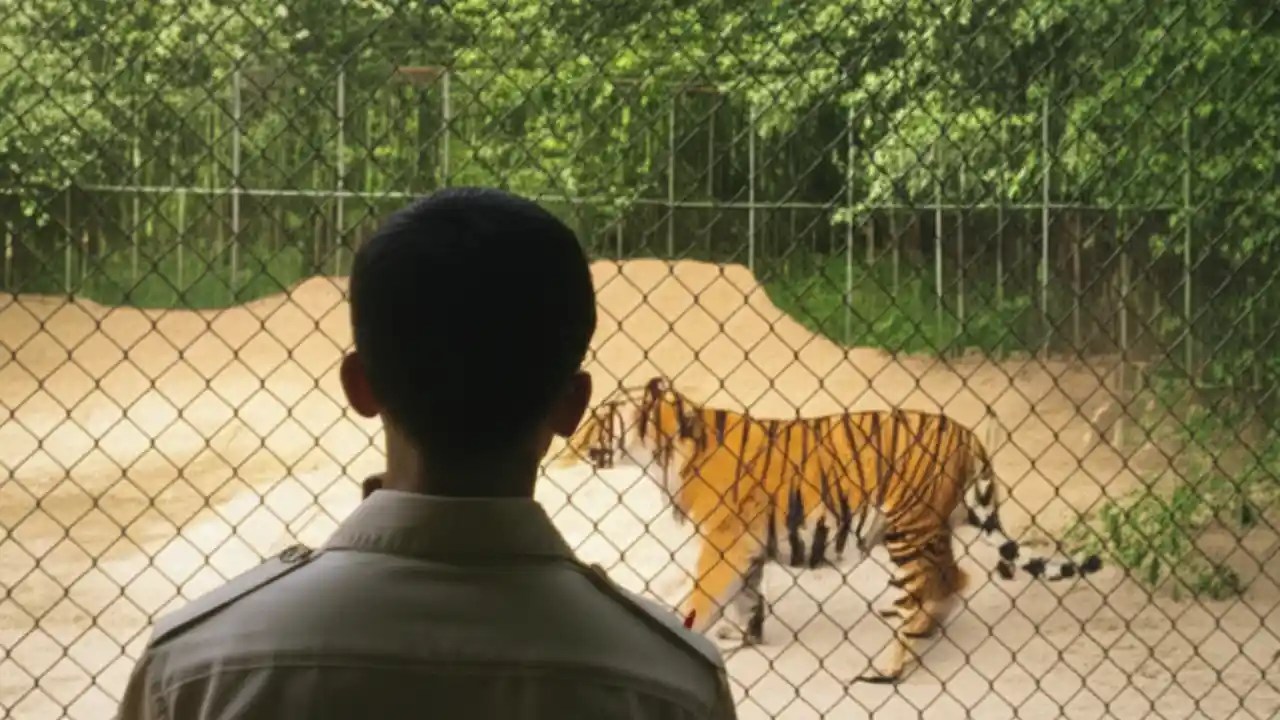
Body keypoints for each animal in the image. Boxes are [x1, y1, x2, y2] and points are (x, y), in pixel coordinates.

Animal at [554, 376, 1102, 684]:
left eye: (601, 419)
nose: (573, 441)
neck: (666, 451)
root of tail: (968, 435)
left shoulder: (724, 540)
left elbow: (703, 597)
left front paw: (694, 634)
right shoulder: (745, 544)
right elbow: (747, 597)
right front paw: (744, 636)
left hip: (908, 529)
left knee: (921, 590)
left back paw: (890, 666)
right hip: (931, 527)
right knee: (951, 578)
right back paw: (928, 629)